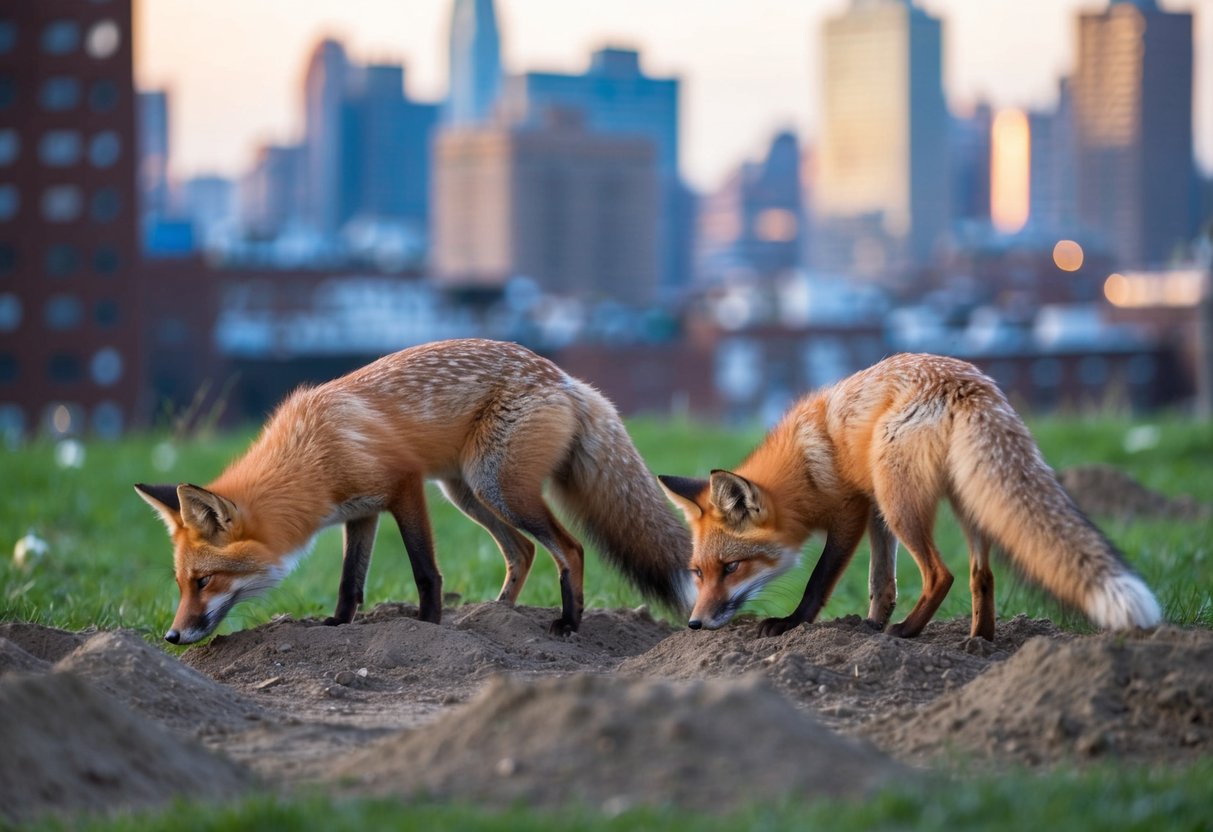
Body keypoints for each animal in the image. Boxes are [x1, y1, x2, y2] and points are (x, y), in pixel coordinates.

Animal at [135, 338, 694, 645]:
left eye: (204, 581)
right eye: (182, 584)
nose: (172, 636)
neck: (312, 452)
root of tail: (567, 380)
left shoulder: (403, 487)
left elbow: (425, 571)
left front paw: (427, 626)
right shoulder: (359, 513)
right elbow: (350, 582)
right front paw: (336, 627)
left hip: (496, 487)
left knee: (570, 549)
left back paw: (568, 624)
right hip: (466, 492)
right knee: (523, 551)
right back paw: (498, 615)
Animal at [659, 353, 1163, 640]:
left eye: (731, 568)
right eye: (697, 573)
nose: (695, 623)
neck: (804, 467)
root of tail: (968, 383)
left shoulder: (852, 510)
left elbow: (819, 580)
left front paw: (791, 625)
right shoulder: (873, 510)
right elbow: (881, 581)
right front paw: (869, 626)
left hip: (901, 501)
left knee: (942, 574)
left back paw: (908, 633)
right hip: (960, 502)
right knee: (982, 575)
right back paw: (979, 642)